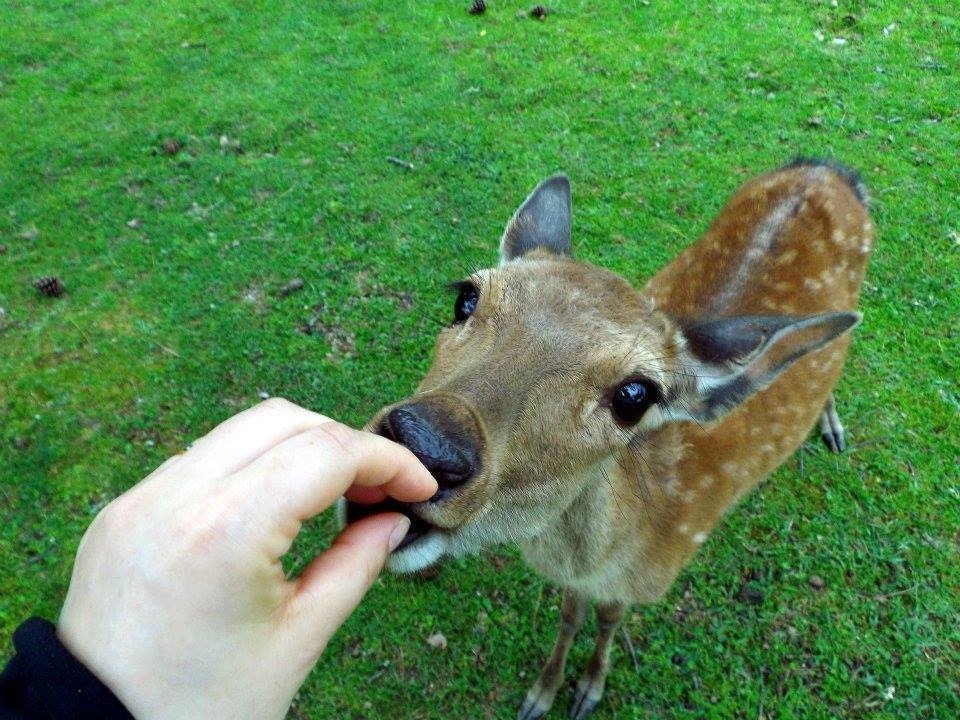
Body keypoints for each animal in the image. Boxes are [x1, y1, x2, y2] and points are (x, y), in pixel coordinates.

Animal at [342, 160, 872, 716]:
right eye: (465, 296)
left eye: (635, 395)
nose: (426, 442)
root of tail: (827, 168)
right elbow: (571, 613)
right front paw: (543, 693)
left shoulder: (648, 578)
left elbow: (608, 618)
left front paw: (588, 689)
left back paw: (832, 428)